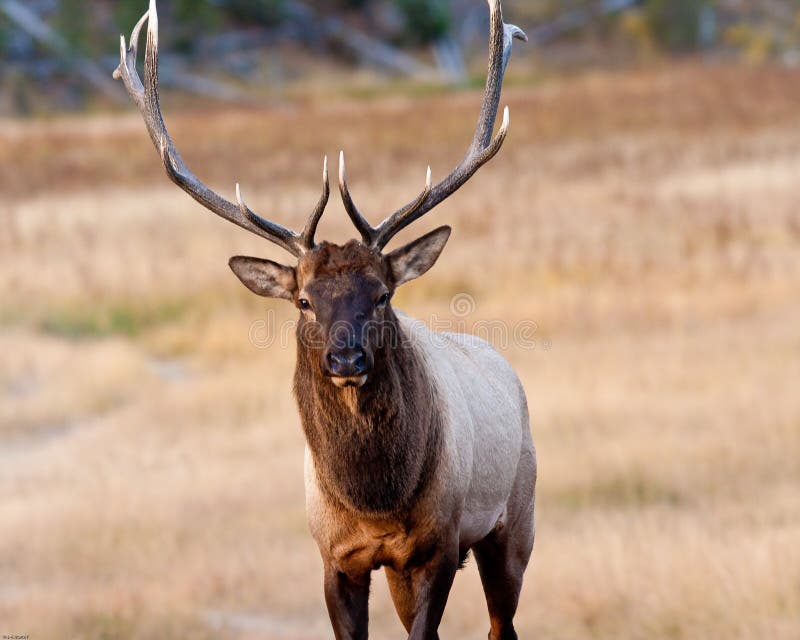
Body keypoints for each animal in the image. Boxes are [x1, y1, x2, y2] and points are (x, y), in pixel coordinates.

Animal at [114, 1, 535, 638]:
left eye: (383, 294)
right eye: (304, 300)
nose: (346, 357)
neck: (375, 504)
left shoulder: (438, 545)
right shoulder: (336, 558)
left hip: (515, 521)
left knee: (501, 621)